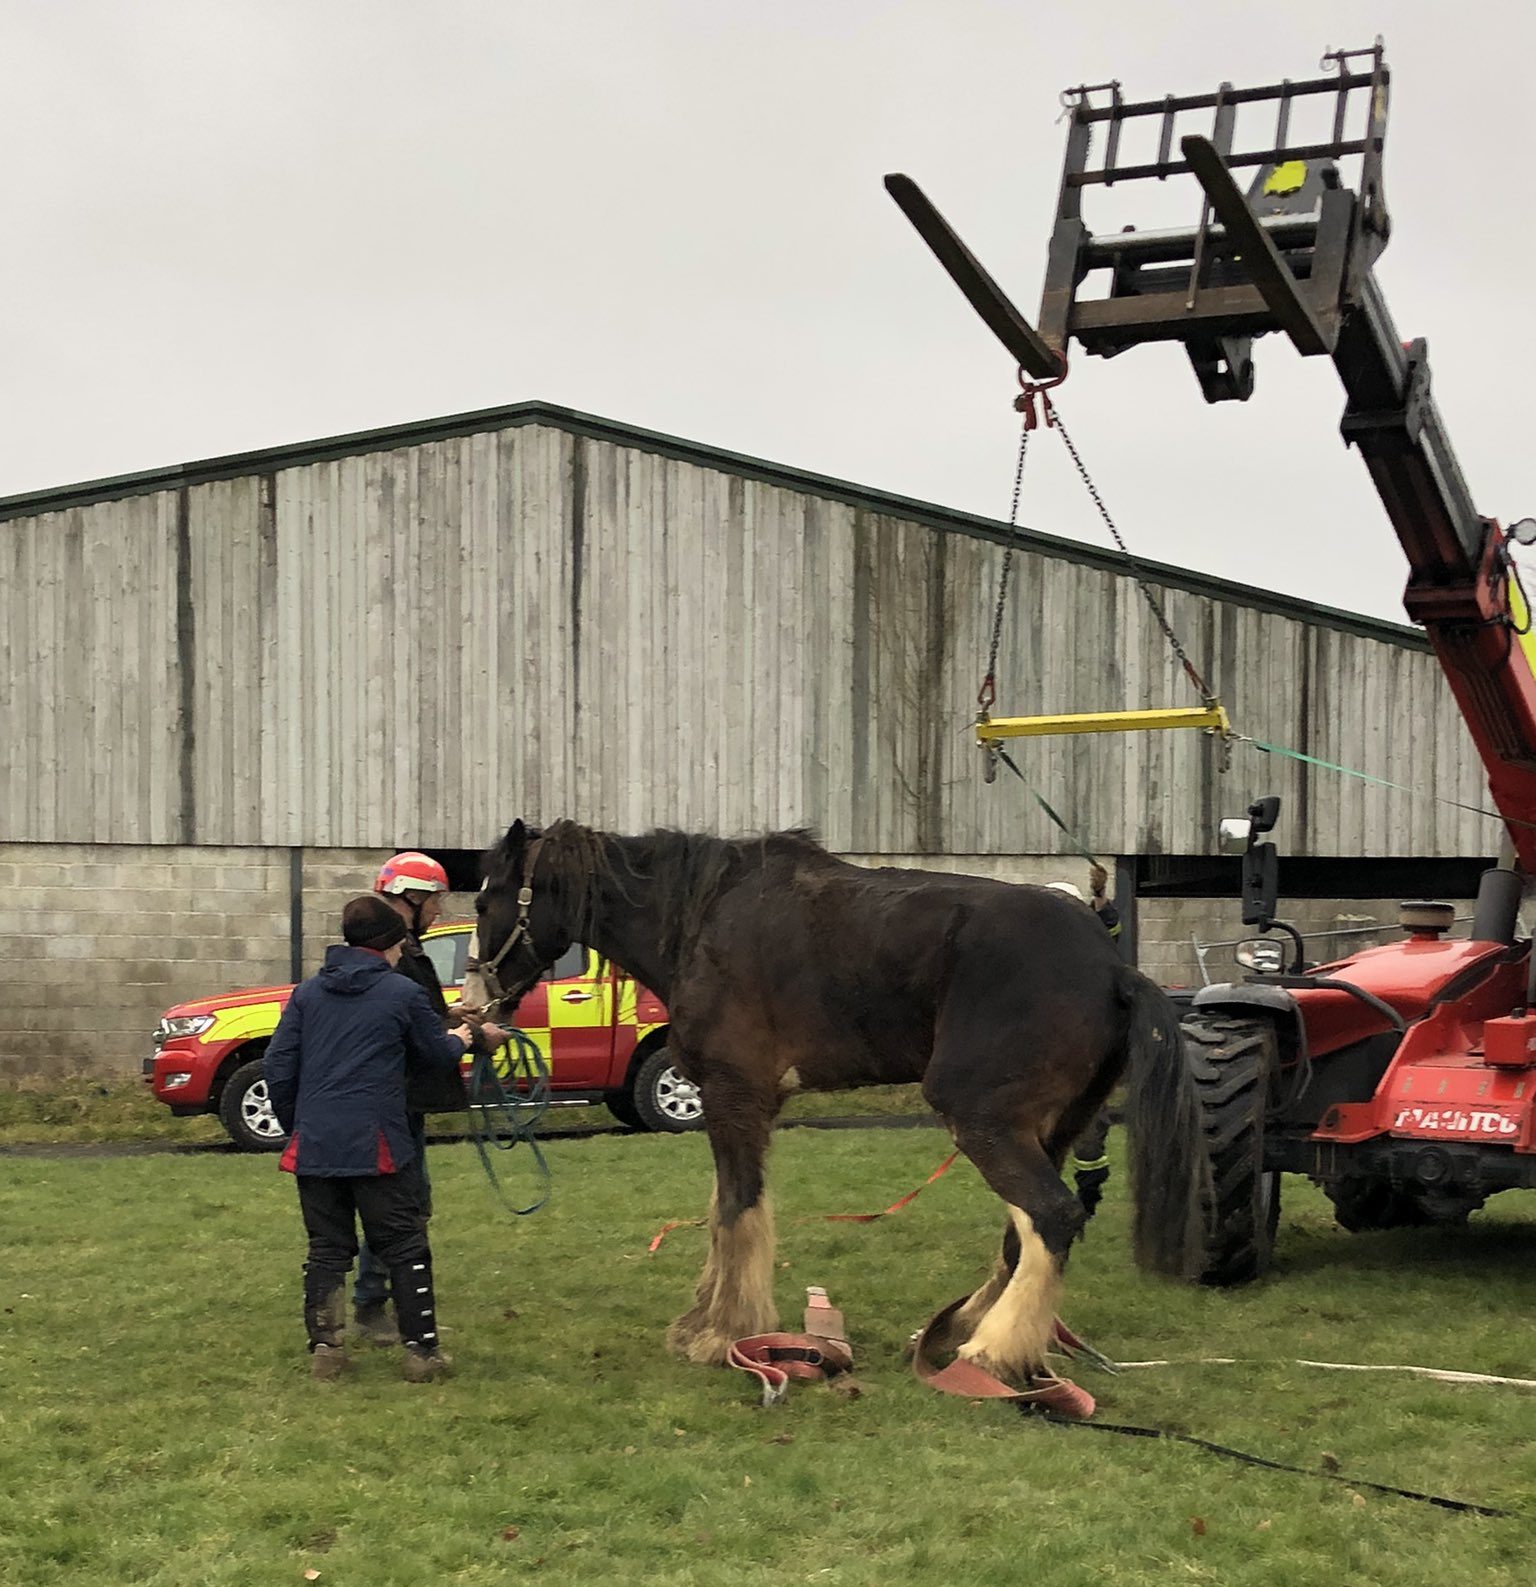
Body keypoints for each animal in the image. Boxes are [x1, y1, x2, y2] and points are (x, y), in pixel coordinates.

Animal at [465, 819, 1210, 1388]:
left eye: (482, 901)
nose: (473, 1001)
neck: (702, 917)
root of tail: (1112, 967)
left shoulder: (733, 1095)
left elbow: (737, 1211)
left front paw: (724, 1334)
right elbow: (727, 1209)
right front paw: (709, 1323)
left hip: (983, 1118)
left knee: (1050, 1215)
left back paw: (990, 1352)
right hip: (1050, 1126)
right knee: (1027, 1228)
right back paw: (964, 1331)